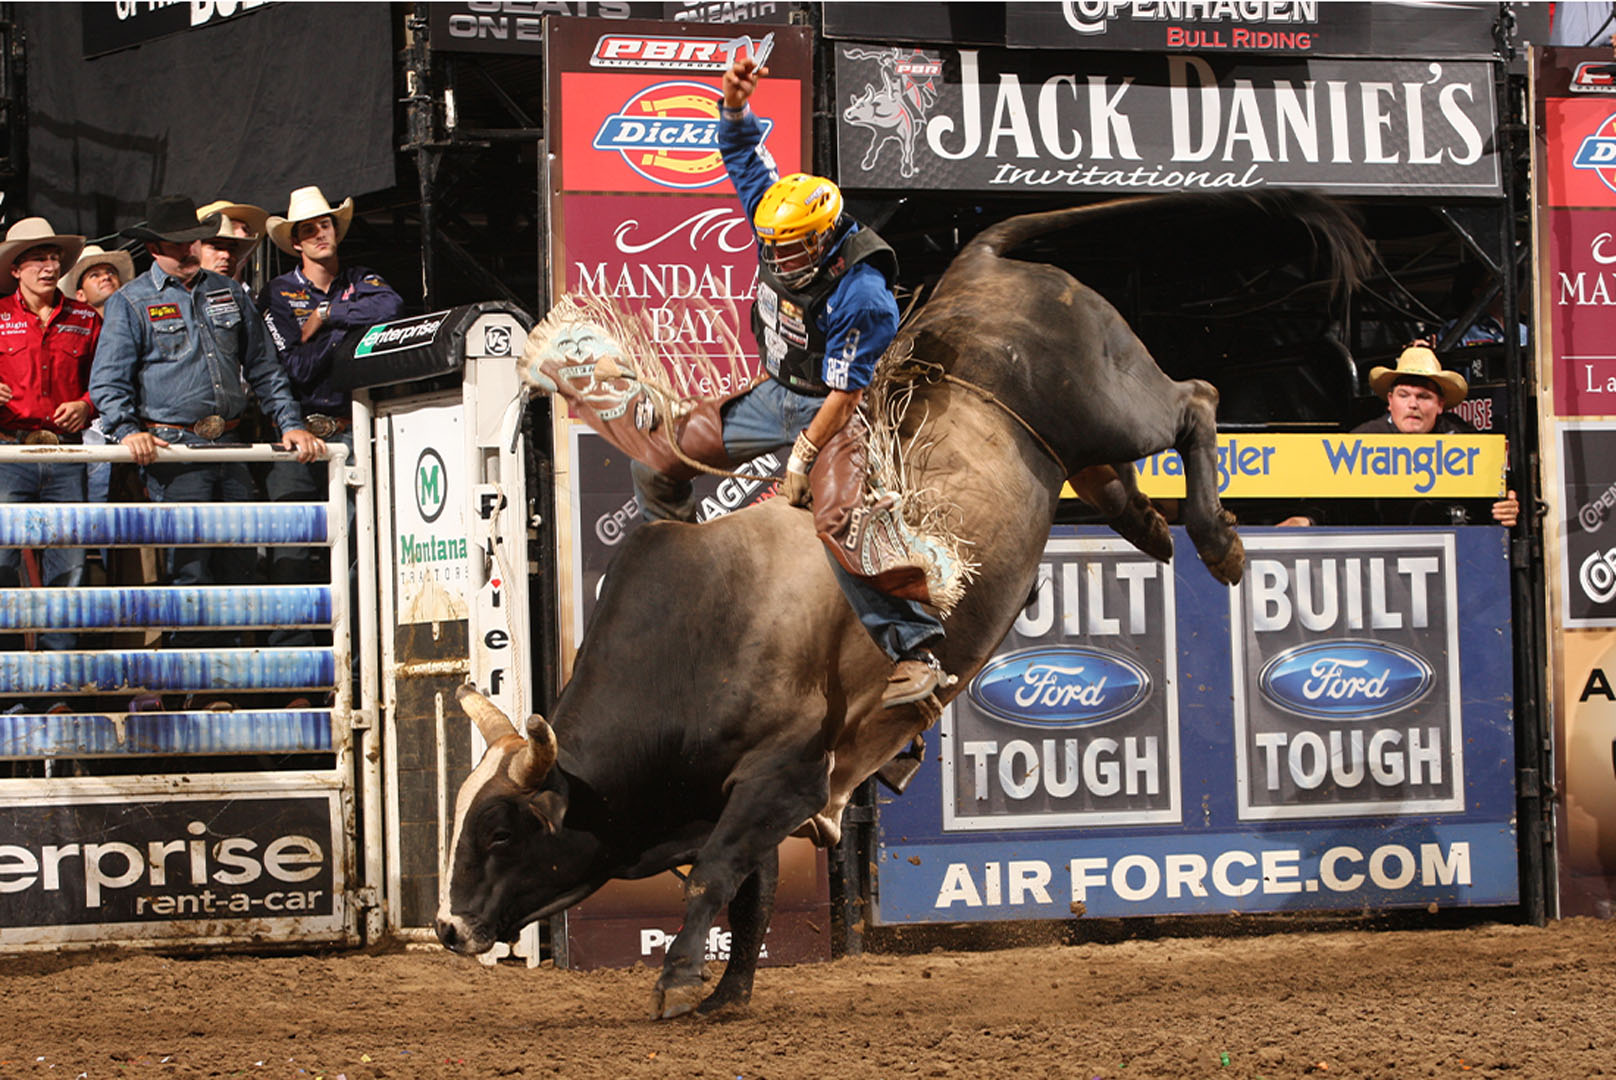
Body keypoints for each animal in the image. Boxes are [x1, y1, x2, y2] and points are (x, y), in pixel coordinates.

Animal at [436, 192, 1369, 1019]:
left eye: (502, 832)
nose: (447, 928)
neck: (707, 635)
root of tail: (981, 265)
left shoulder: (782, 774)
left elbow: (716, 878)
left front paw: (675, 986)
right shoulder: (750, 802)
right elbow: (749, 893)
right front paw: (726, 998)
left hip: (1112, 398)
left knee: (1196, 402)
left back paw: (1219, 543)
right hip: (1073, 447)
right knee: (1119, 473)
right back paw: (1149, 527)